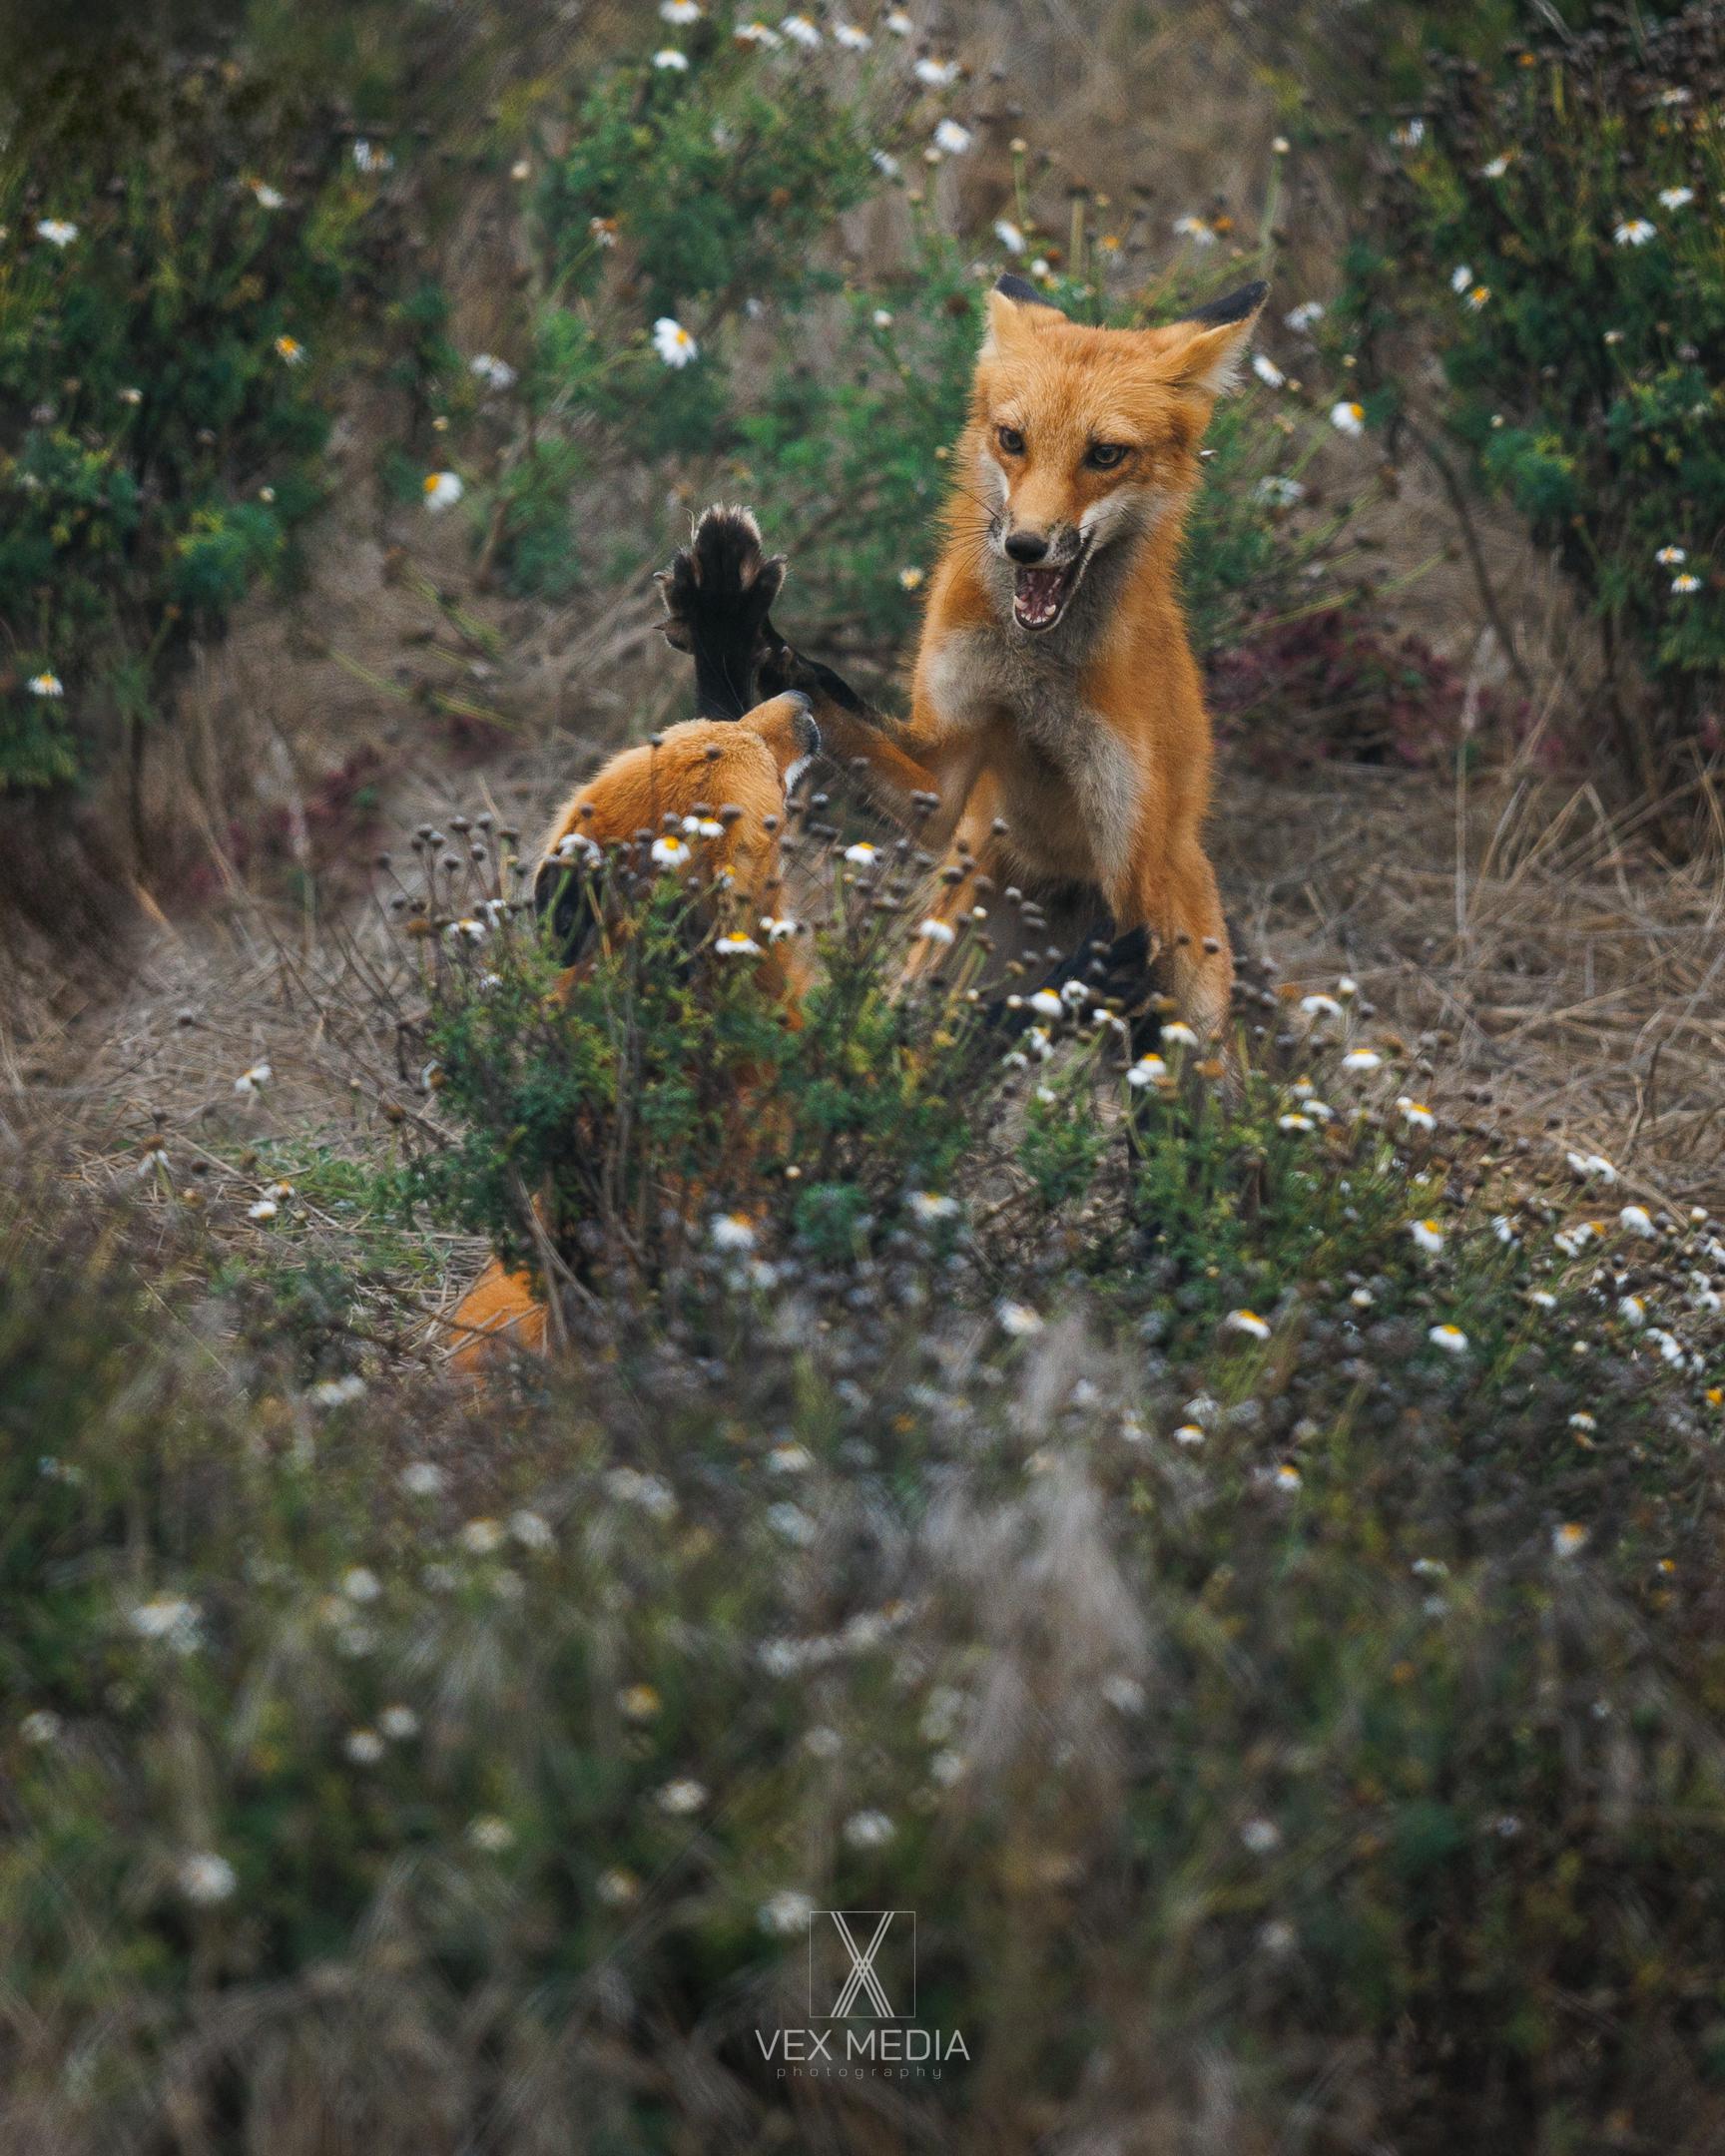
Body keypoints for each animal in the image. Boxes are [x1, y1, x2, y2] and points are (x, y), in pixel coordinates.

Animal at [676, 274, 1271, 1038]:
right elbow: (821, 694)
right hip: (968, 880)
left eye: (1105, 455)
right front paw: (731, 614)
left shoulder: (1130, 861)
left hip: (1186, 953)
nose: (1025, 545)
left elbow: (1083, 990)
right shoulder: (947, 779)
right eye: (1012, 440)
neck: (1037, 680)